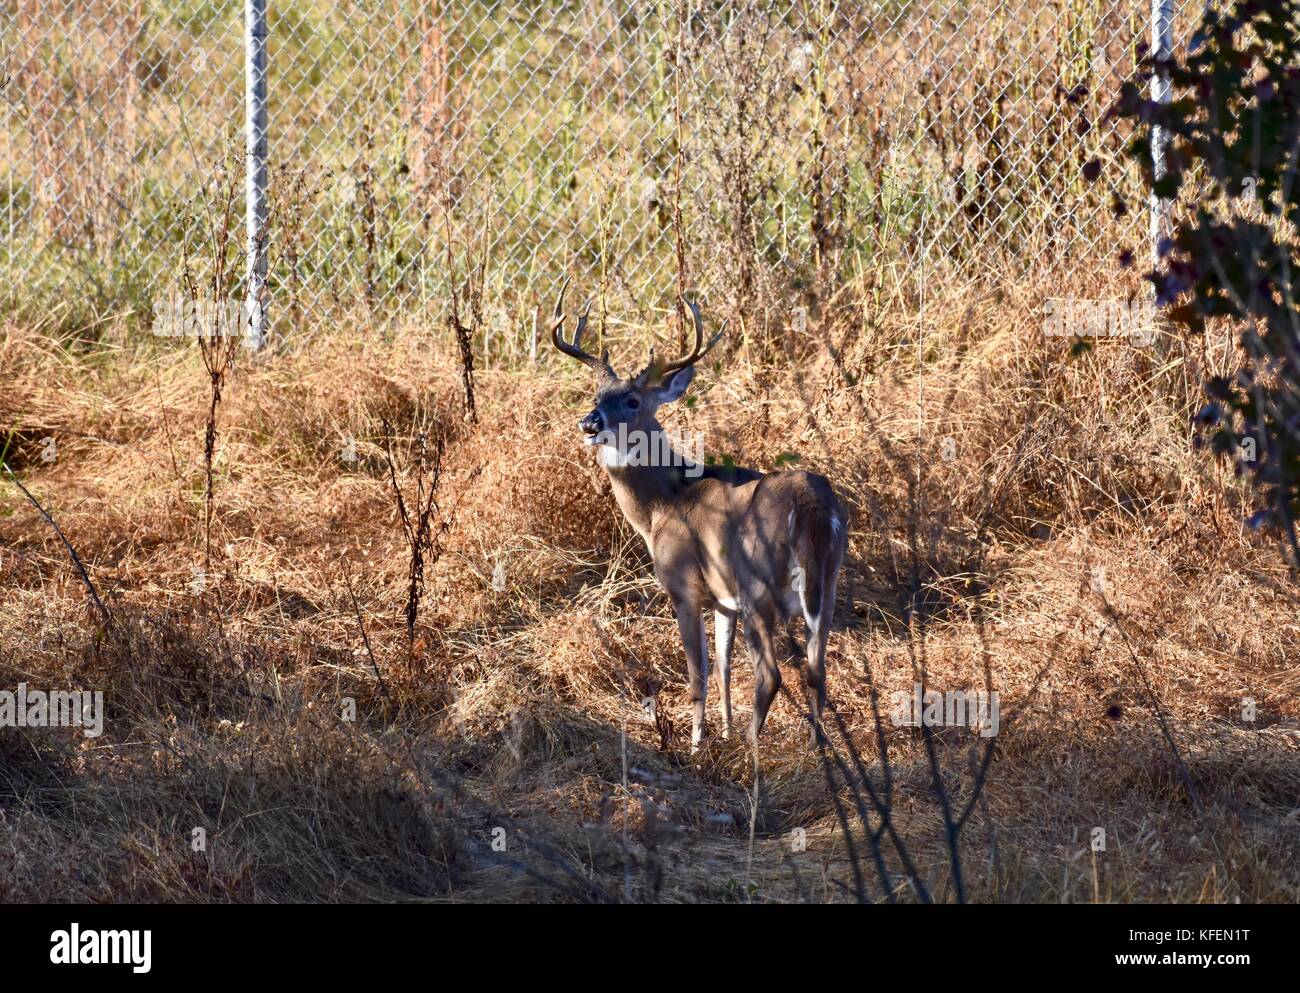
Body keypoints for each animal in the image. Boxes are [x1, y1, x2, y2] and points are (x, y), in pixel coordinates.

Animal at [551, 279, 848, 752]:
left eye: (631, 400)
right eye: (597, 396)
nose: (589, 423)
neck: (660, 507)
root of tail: (812, 510)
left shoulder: (683, 588)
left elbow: (698, 675)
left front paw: (697, 744)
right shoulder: (723, 601)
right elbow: (724, 668)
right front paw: (723, 730)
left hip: (758, 584)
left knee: (771, 674)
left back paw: (753, 749)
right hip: (829, 580)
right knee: (817, 670)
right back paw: (819, 747)